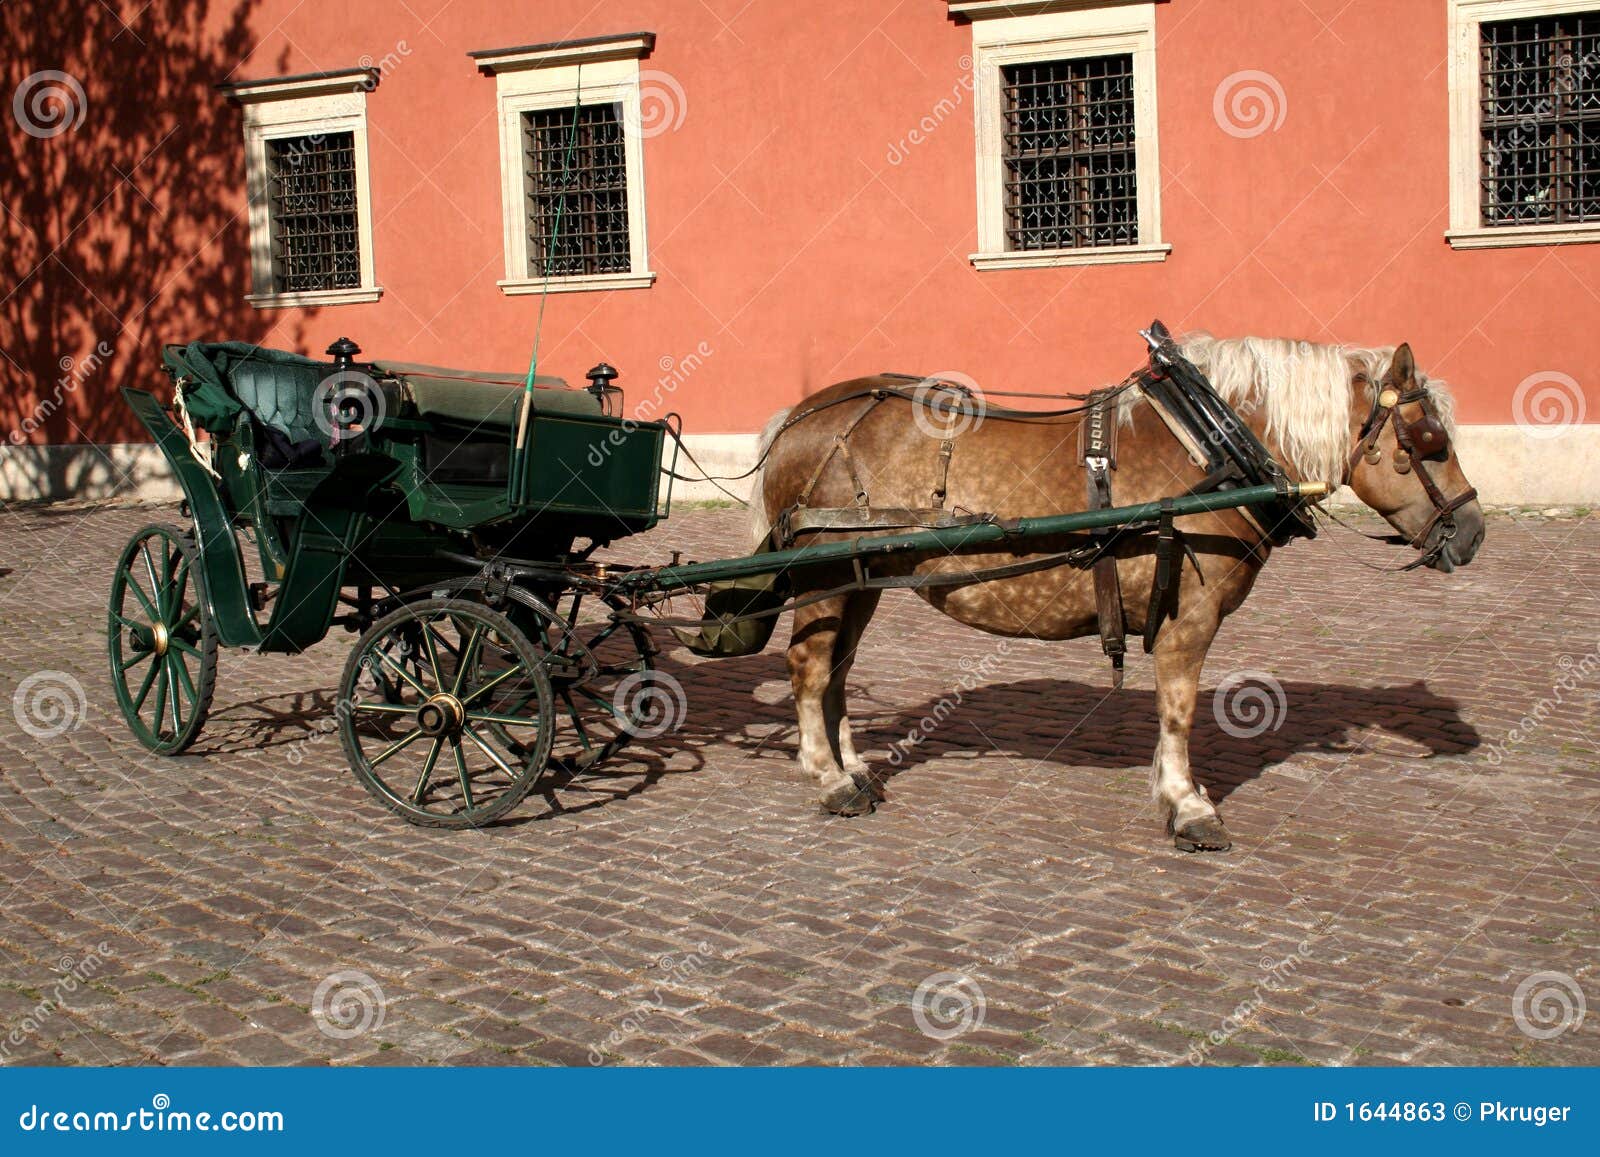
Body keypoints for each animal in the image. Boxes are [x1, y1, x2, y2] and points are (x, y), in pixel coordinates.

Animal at [751, 334, 1484, 852]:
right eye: (1429, 442)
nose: (1473, 532)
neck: (1210, 451)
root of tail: (797, 417)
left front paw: (1175, 789)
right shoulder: (1190, 617)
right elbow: (1179, 709)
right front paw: (1189, 807)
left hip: (861, 575)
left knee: (838, 671)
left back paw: (855, 769)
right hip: (822, 577)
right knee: (810, 668)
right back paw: (828, 778)